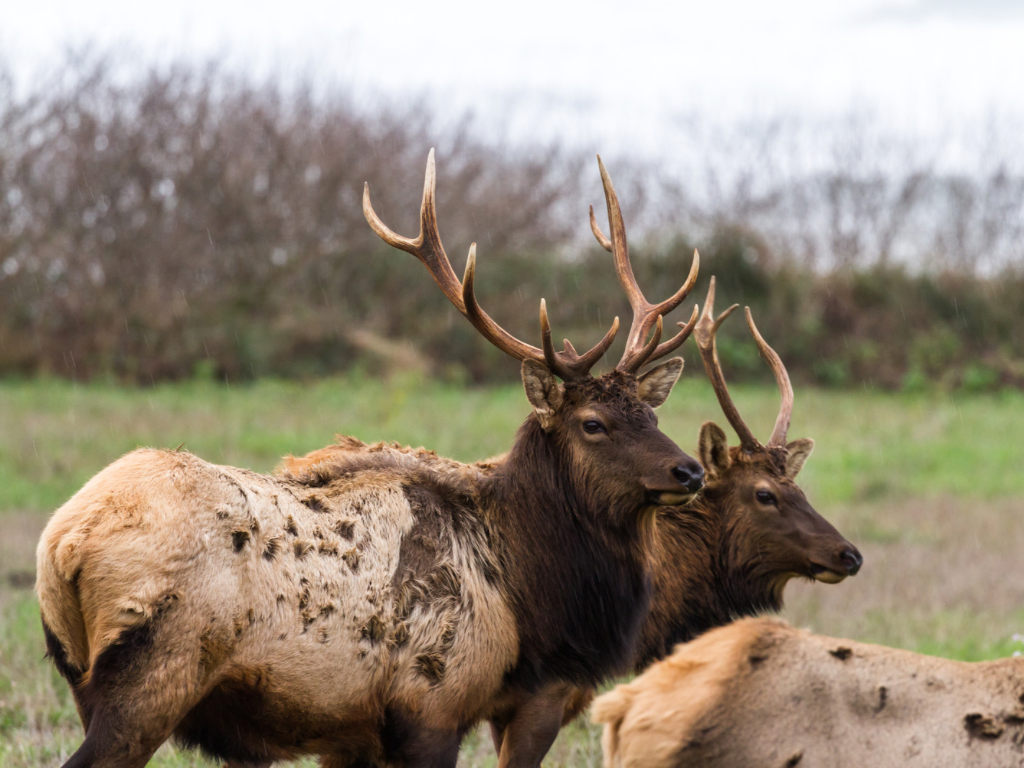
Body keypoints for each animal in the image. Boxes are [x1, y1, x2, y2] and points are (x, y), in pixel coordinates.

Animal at [36, 150, 706, 768]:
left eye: (652, 417)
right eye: (593, 424)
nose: (691, 470)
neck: (527, 592)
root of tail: (64, 543)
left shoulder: (354, 732)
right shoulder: (435, 699)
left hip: (84, 679)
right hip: (153, 674)